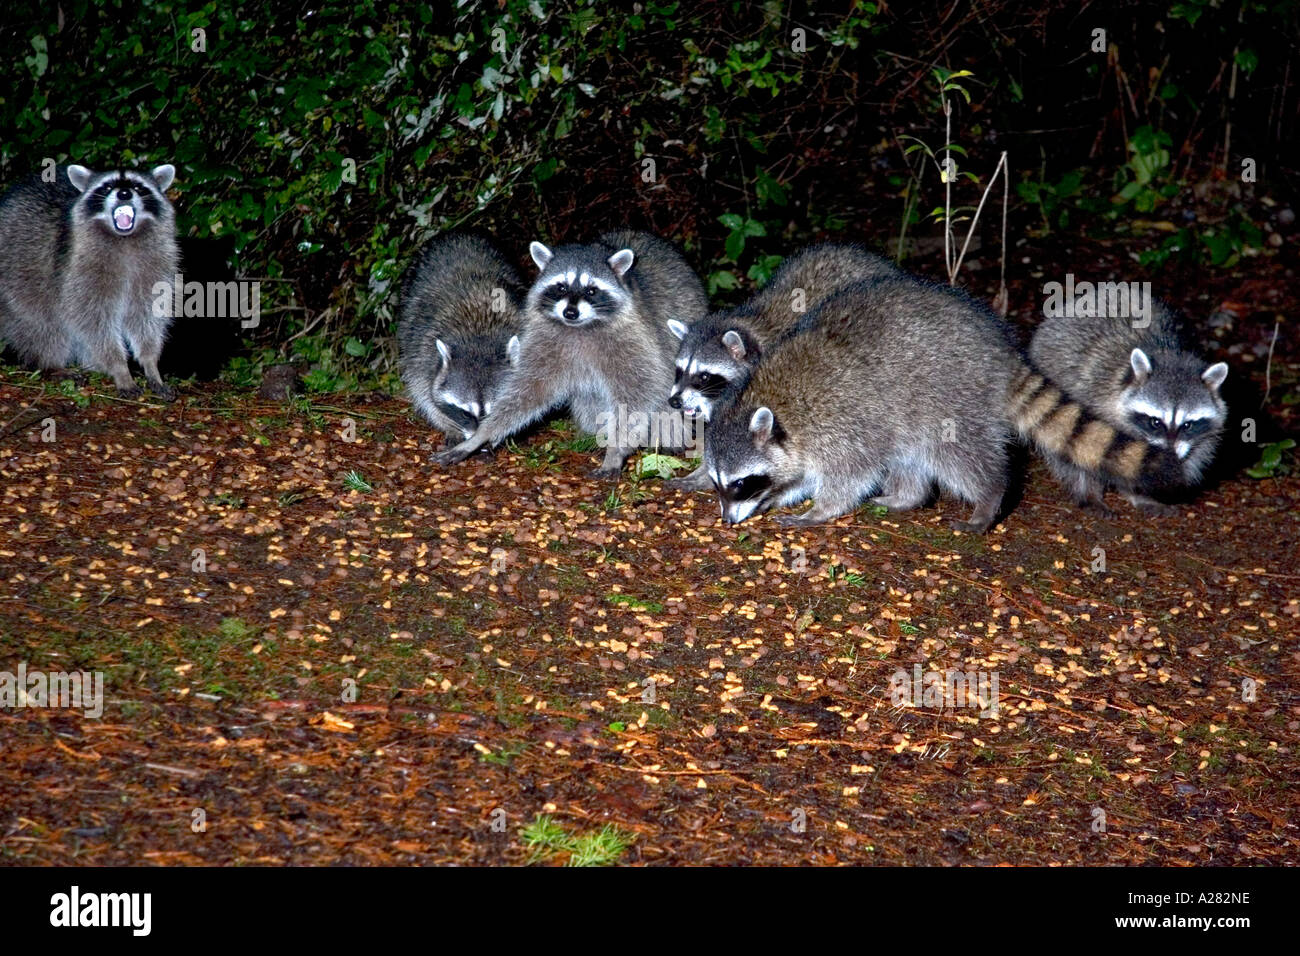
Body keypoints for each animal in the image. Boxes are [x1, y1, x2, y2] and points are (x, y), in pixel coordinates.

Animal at [0, 163, 180, 400]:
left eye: (139, 187)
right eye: (108, 186)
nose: (124, 193)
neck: (124, 238)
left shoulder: (156, 268)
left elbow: (146, 316)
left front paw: (150, 364)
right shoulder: (79, 269)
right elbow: (93, 321)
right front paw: (120, 368)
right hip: (17, 283)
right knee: (41, 325)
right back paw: (50, 364)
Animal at [397, 234, 525, 441]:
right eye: (465, 413)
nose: (479, 442)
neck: (480, 336)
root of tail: (458, 233)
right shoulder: (421, 349)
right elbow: (423, 392)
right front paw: (450, 426)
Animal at [431, 230, 708, 476]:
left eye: (591, 290)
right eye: (561, 287)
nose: (570, 312)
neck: (580, 327)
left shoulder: (635, 340)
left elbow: (639, 393)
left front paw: (616, 449)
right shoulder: (545, 342)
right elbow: (528, 390)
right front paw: (482, 434)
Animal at [707, 276, 1184, 530]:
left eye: (740, 483)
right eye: (719, 483)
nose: (727, 521)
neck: (770, 400)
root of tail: (1000, 351)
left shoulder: (842, 425)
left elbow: (850, 475)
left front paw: (818, 509)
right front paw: (782, 495)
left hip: (947, 394)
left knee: (957, 454)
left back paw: (988, 497)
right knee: (910, 456)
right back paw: (907, 496)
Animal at [1027, 301, 1228, 513]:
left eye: (1188, 425)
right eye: (1155, 422)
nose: (1170, 456)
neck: (1169, 354)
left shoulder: (1202, 436)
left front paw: (1145, 493)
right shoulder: (1092, 400)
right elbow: (1083, 450)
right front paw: (1089, 490)